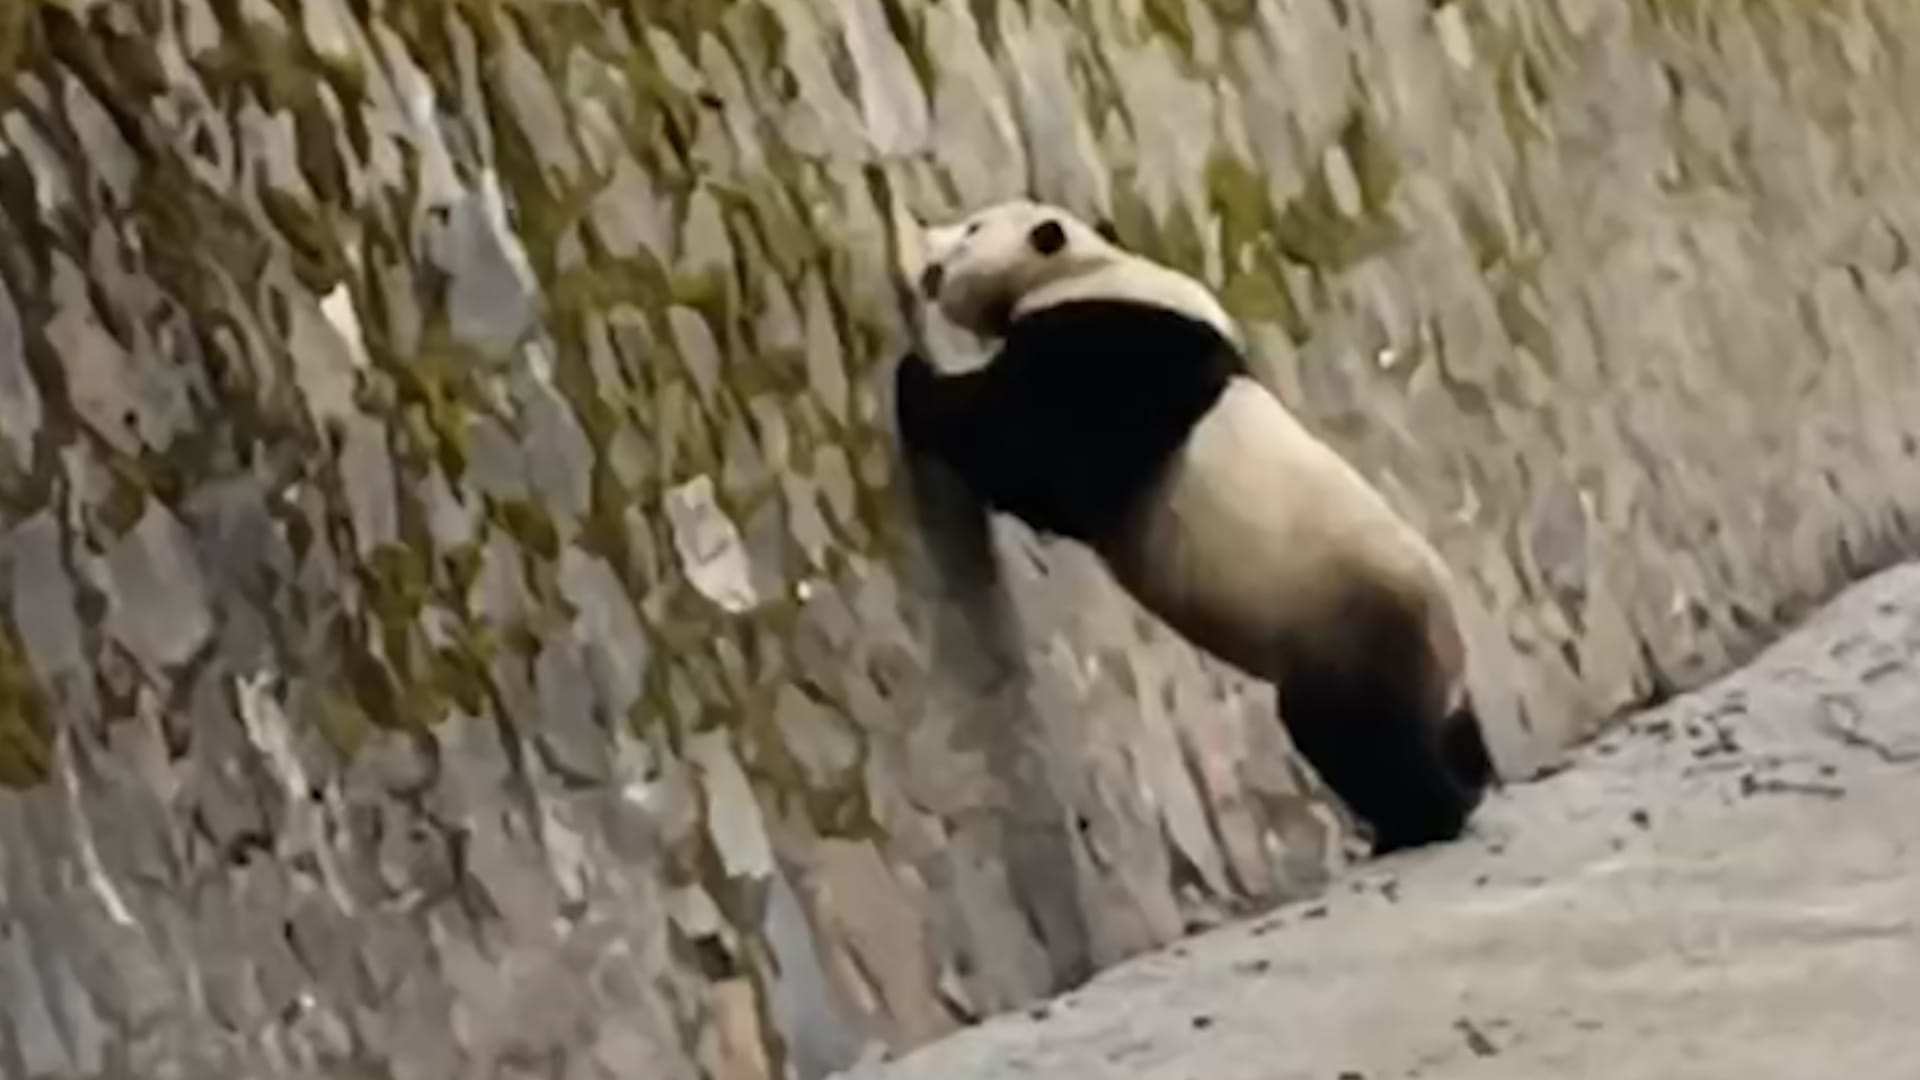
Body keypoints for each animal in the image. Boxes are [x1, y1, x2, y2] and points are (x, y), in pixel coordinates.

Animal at [892, 198, 1496, 854]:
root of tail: (1450, 661)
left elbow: (1037, 458)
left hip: (1350, 628)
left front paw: (914, 380)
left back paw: (1421, 822)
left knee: (1357, 733)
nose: (925, 244)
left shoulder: (1117, 354)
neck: (1087, 268)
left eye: (973, 229)